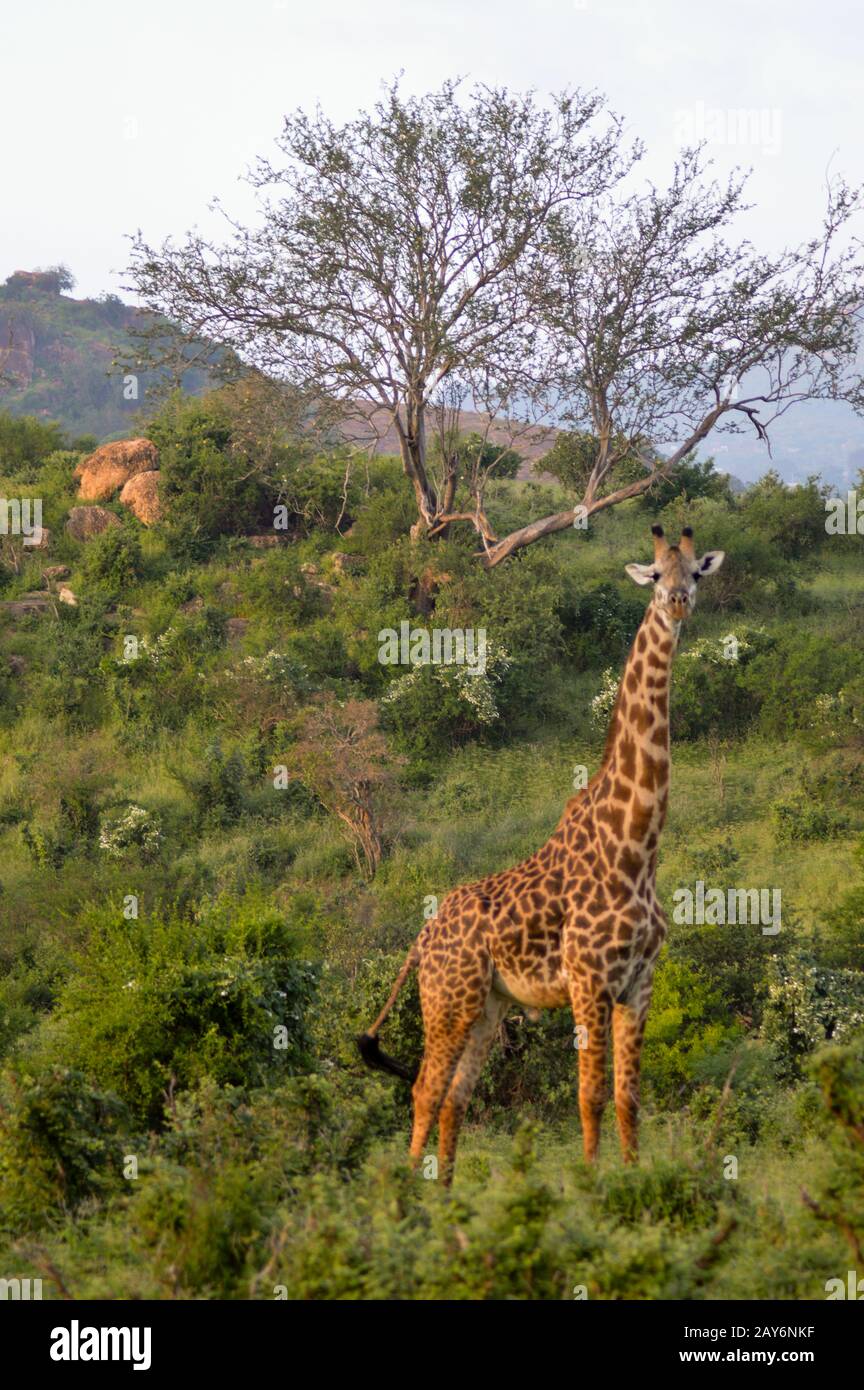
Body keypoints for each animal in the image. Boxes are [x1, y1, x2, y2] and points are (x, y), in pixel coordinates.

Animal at [358, 525, 725, 1181]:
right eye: (656, 574)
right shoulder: (588, 980)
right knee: (425, 1090)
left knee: (455, 1096)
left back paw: (446, 1195)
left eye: (696, 573)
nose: (678, 602)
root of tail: (421, 937)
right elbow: (591, 1095)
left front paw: (633, 1180)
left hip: (487, 1007)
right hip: (448, 1001)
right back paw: (409, 1195)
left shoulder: (639, 982)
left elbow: (629, 1096)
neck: (637, 848)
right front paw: (589, 1185)